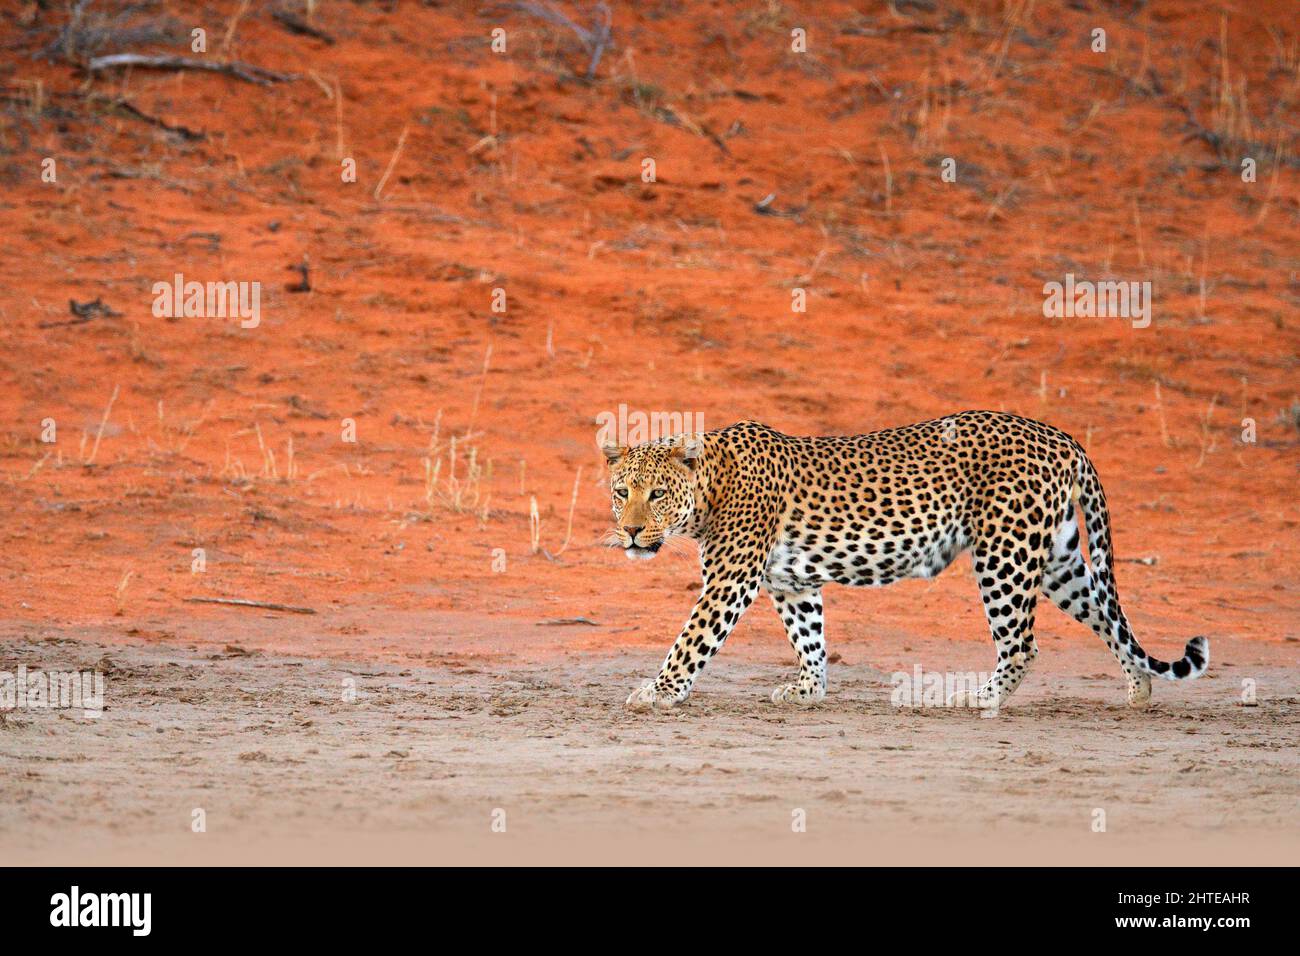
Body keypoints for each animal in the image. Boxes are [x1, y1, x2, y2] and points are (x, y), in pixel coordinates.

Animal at [604, 411, 1208, 712]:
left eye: (657, 494)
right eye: (621, 491)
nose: (630, 531)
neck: (710, 486)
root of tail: (1063, 438)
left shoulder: (730, 579)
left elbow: (691, 640)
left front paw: (657, 693)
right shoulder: (791, 583)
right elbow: (809, 637)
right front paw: (809, 690)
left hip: (1005, 554)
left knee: (1023, 644)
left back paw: (977, 698)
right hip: (1058, 559)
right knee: (1108, 617)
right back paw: (1139, 690)